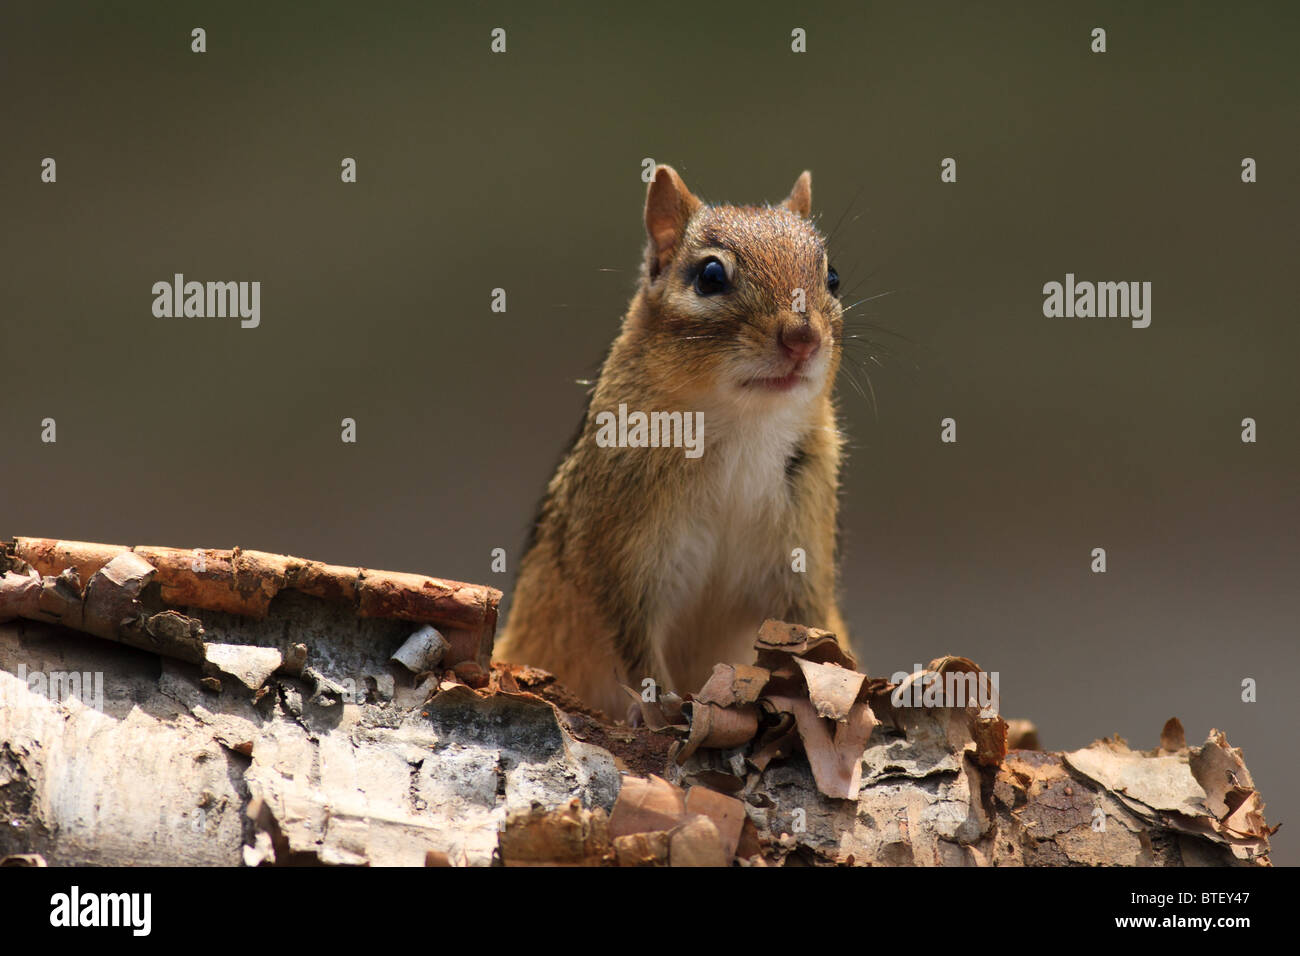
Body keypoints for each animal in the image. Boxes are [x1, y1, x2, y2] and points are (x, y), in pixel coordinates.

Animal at [494, 165, 848, 717]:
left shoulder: (802, 557)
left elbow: (807, 633)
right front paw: (661, 707)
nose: (802, 339)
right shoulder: (619, 558)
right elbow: (633, 641)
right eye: (710, 276)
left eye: (831, 276)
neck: (742, 427)